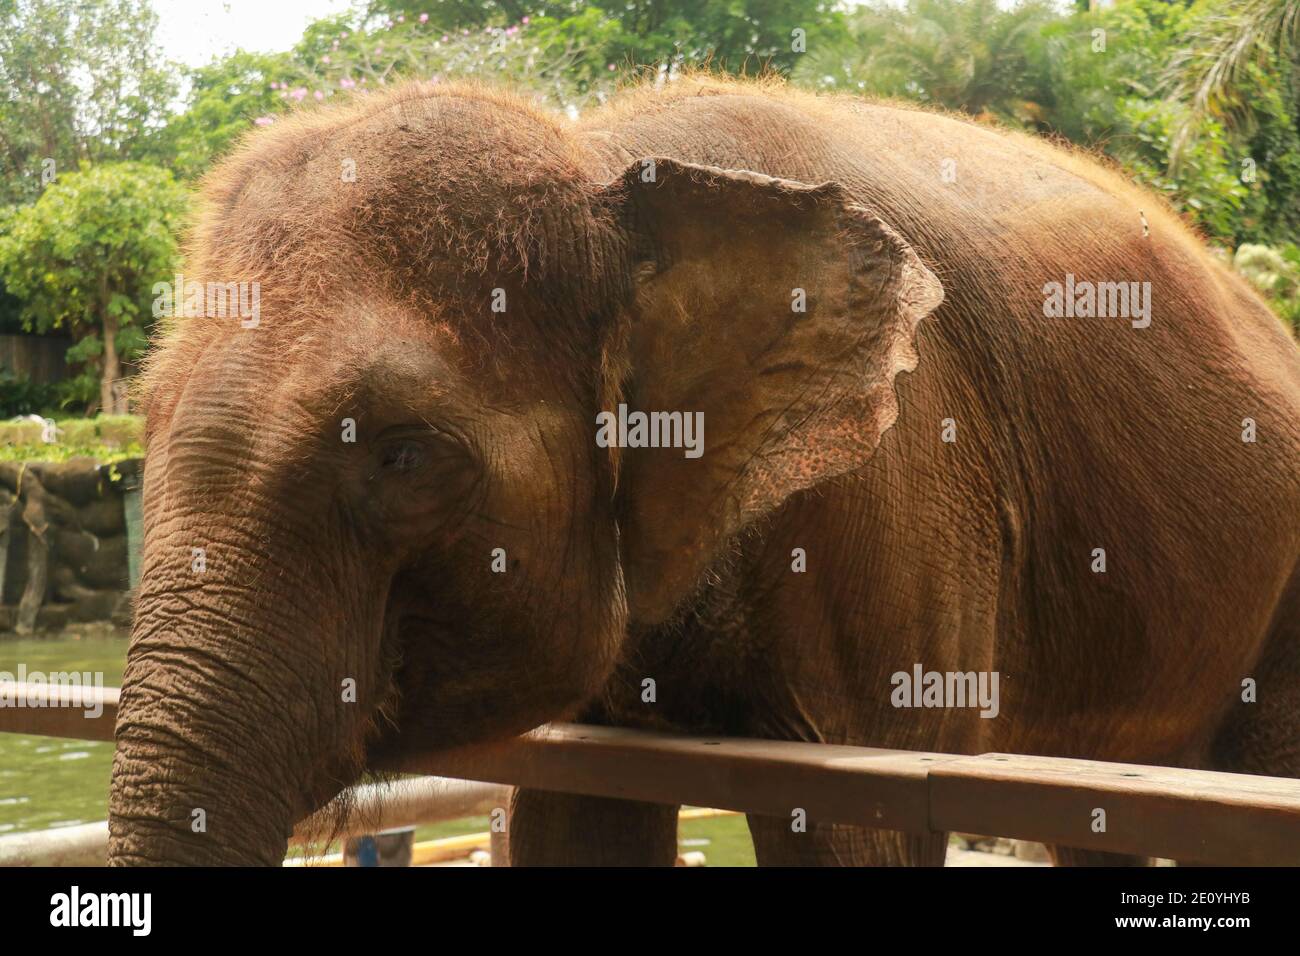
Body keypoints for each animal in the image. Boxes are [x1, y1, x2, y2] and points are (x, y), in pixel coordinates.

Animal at [108, 76, 1300, 866]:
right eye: (145, 425)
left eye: (403, 455)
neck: (604, 161)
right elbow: (578, 814)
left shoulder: (901, 492)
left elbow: (861, 819)